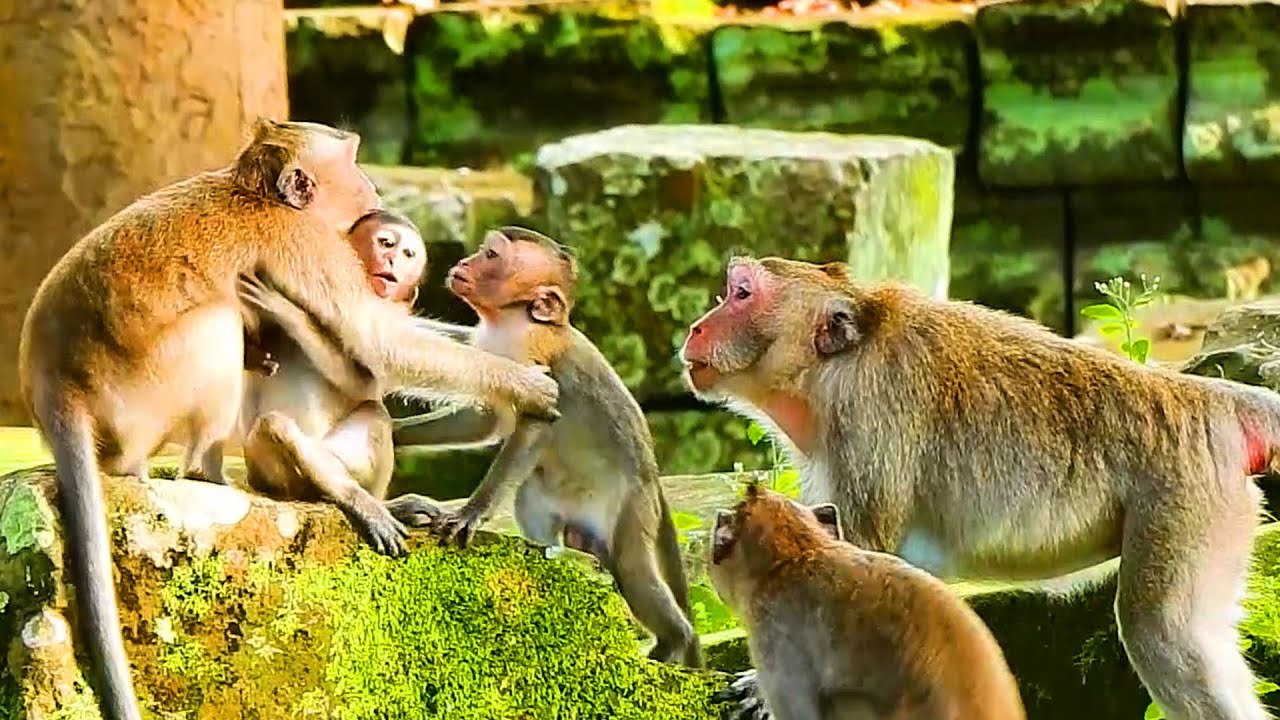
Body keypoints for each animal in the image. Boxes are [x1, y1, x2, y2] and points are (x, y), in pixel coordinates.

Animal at [235, 208, 447, 558]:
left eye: (408, 254)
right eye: (385, 242)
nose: (393, 259)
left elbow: (366, 381)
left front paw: (285, 310)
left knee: (374, 414)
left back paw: (378, 503)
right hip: (269, 473)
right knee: (273, 427)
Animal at [386, 225, 703, 667]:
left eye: (490, 256)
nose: (464, 263)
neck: (511, 322)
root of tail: (654, 482)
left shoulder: (532, 354)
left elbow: (537, 420)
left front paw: (470, 513)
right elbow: (487, 419)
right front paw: (392, 433)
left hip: (633, 508)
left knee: (633, 569)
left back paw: (675, 640)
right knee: (539, 510)